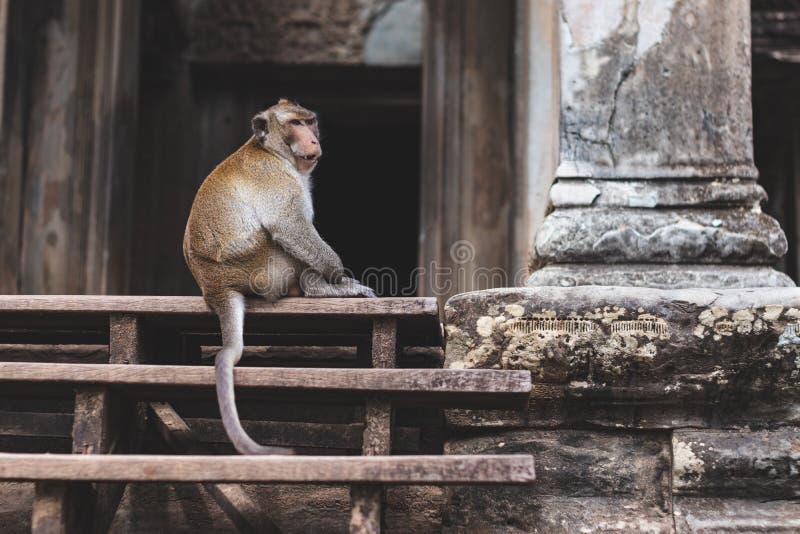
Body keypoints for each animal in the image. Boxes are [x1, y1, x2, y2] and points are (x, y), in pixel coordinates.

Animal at [183, 99, 376, 455]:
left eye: (309, 122)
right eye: (295, 124)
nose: (313, 139)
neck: (272, 151)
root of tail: (215, 286)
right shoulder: (276, 177)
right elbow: (288, 225)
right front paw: (338, 277)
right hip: (262, 266)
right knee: (279, 238)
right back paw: (316, 288)